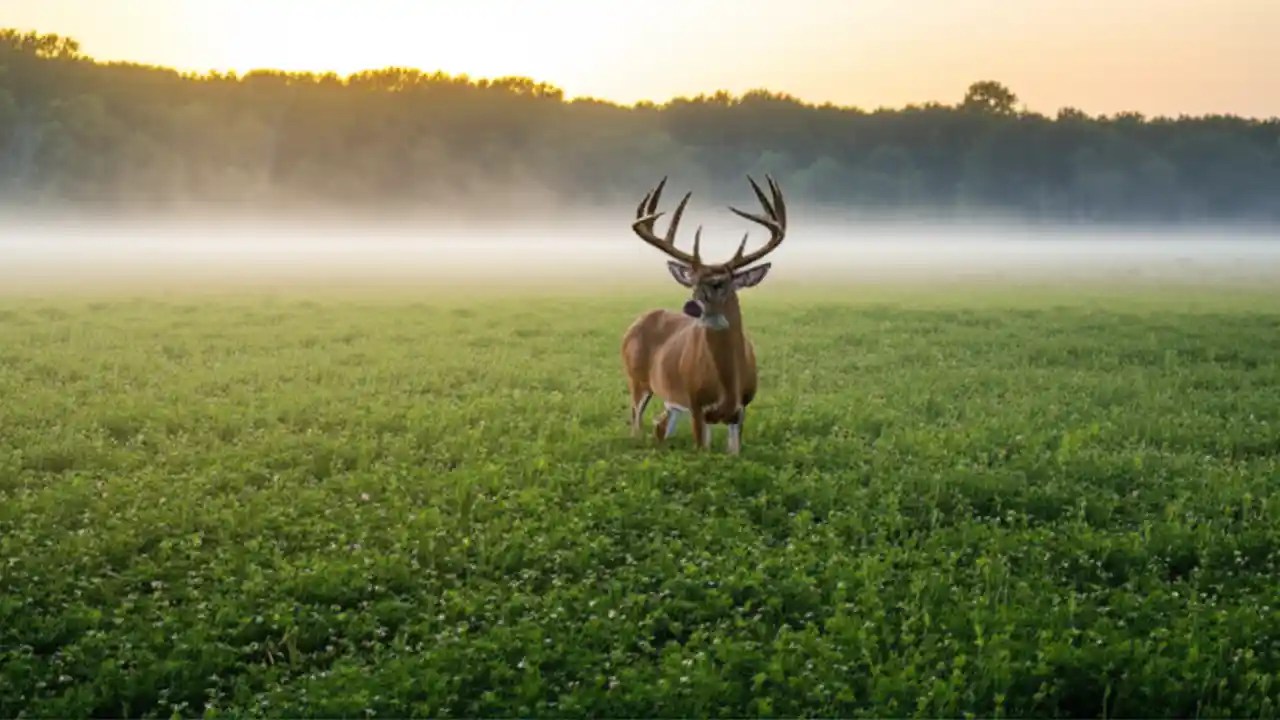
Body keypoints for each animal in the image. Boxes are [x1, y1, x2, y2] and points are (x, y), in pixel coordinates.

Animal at [620, 174, 788, 454]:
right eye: (692, 283)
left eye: (719, 283)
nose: (691, 306)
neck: (728, 385)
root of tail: (637, 321)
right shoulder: (696, 404)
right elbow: (702, 450)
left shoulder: (742, 408)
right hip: (636, 379)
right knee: (636, 421)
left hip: (670, 399)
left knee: (659, 426)